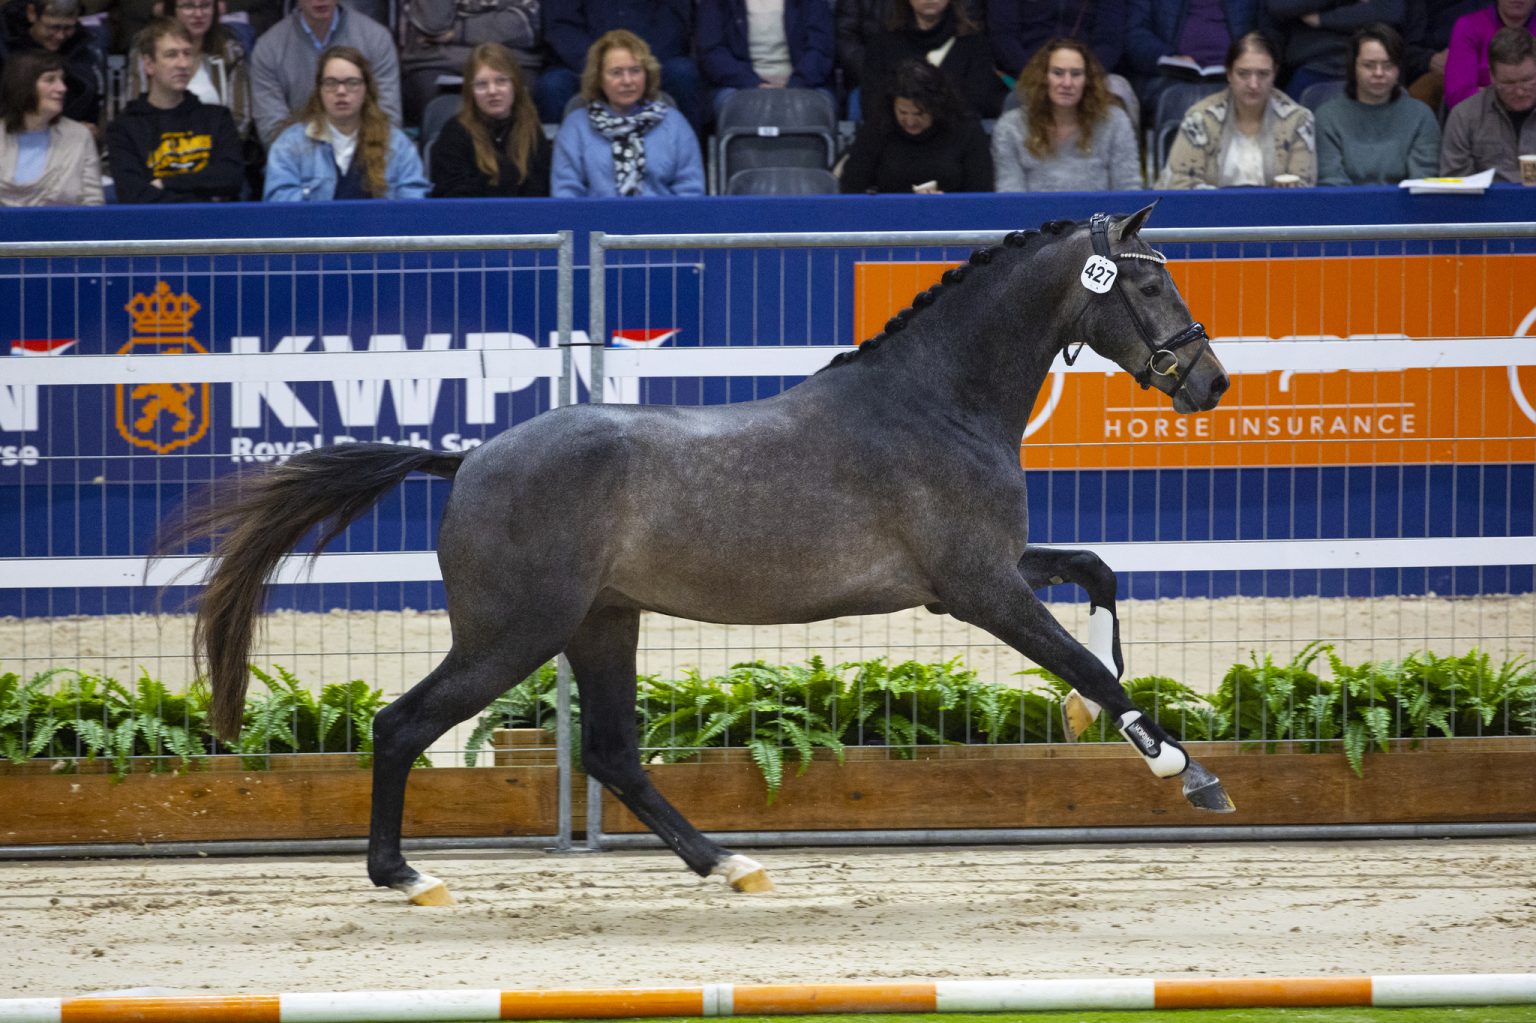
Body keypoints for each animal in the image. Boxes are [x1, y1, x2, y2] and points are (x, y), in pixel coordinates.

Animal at [162, 205, 1233, 907]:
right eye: (1147, 280)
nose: (1210, 382)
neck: (936, 402)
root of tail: (467, 458)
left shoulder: (977, 576)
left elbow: (1098, 575)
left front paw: (1111, 726)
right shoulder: (978, 587)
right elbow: (1086, 658)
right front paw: (1184, 769)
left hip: (602, 622)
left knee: (609, 752)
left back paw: (729, 863)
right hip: (514, 635)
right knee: (401, 724)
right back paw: (405, 875)